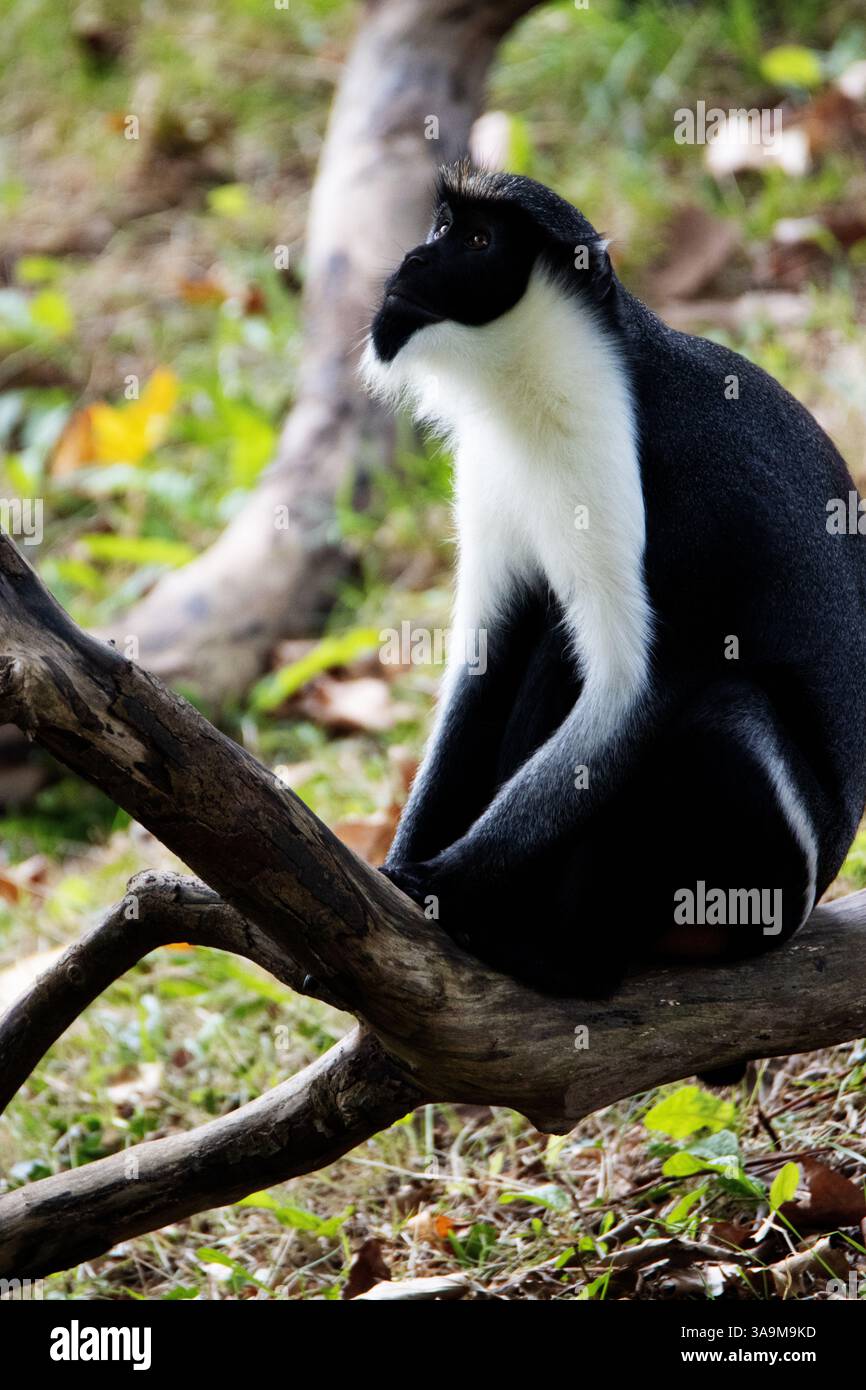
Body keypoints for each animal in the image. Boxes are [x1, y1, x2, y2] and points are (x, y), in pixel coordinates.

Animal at [361, 162, 866, 1000]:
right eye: (439, 225)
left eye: (477, 240)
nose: (410, 261)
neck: (535, 381)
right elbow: (487, 662)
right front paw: (404, 866)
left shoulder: (628, 470)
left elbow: (637, 697)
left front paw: (435, 881)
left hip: (766, 881)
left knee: (719, 718)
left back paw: (570, 961)